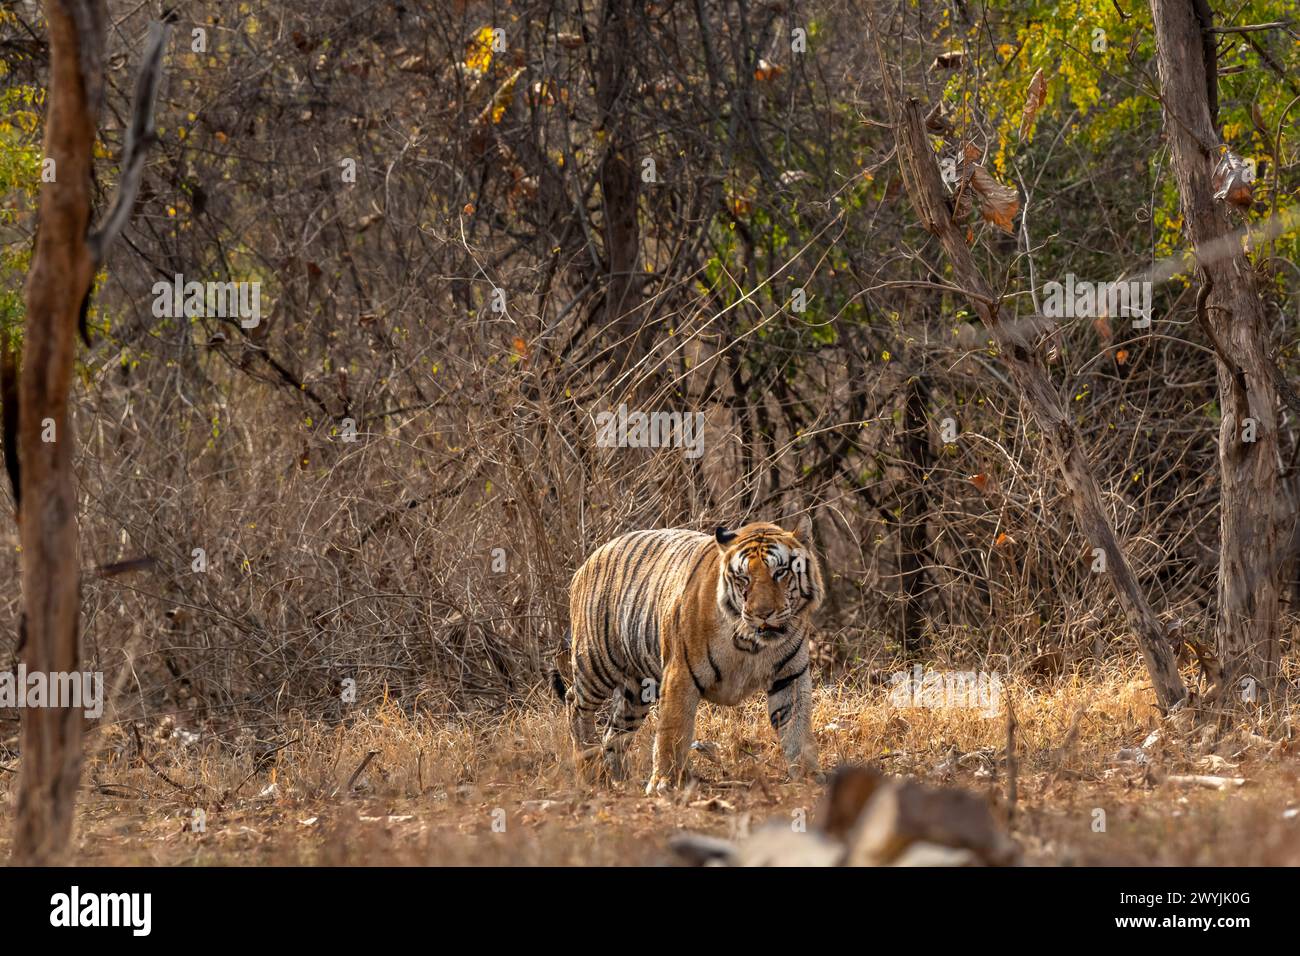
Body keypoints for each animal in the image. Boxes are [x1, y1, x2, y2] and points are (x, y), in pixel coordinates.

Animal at [560, 516, 824, 794]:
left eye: (780, 572)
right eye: (743, 578)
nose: (762, 613)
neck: (751, 644)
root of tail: (589, 560)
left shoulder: (790, 676)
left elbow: (796, 728)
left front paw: (808, 776)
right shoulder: (680, 673)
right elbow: (673, 729)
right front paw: (664, 782)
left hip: (636, 689)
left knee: (614, 732)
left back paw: (621, 780)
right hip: (597, 662)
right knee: (575, 703)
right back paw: (589, 770)